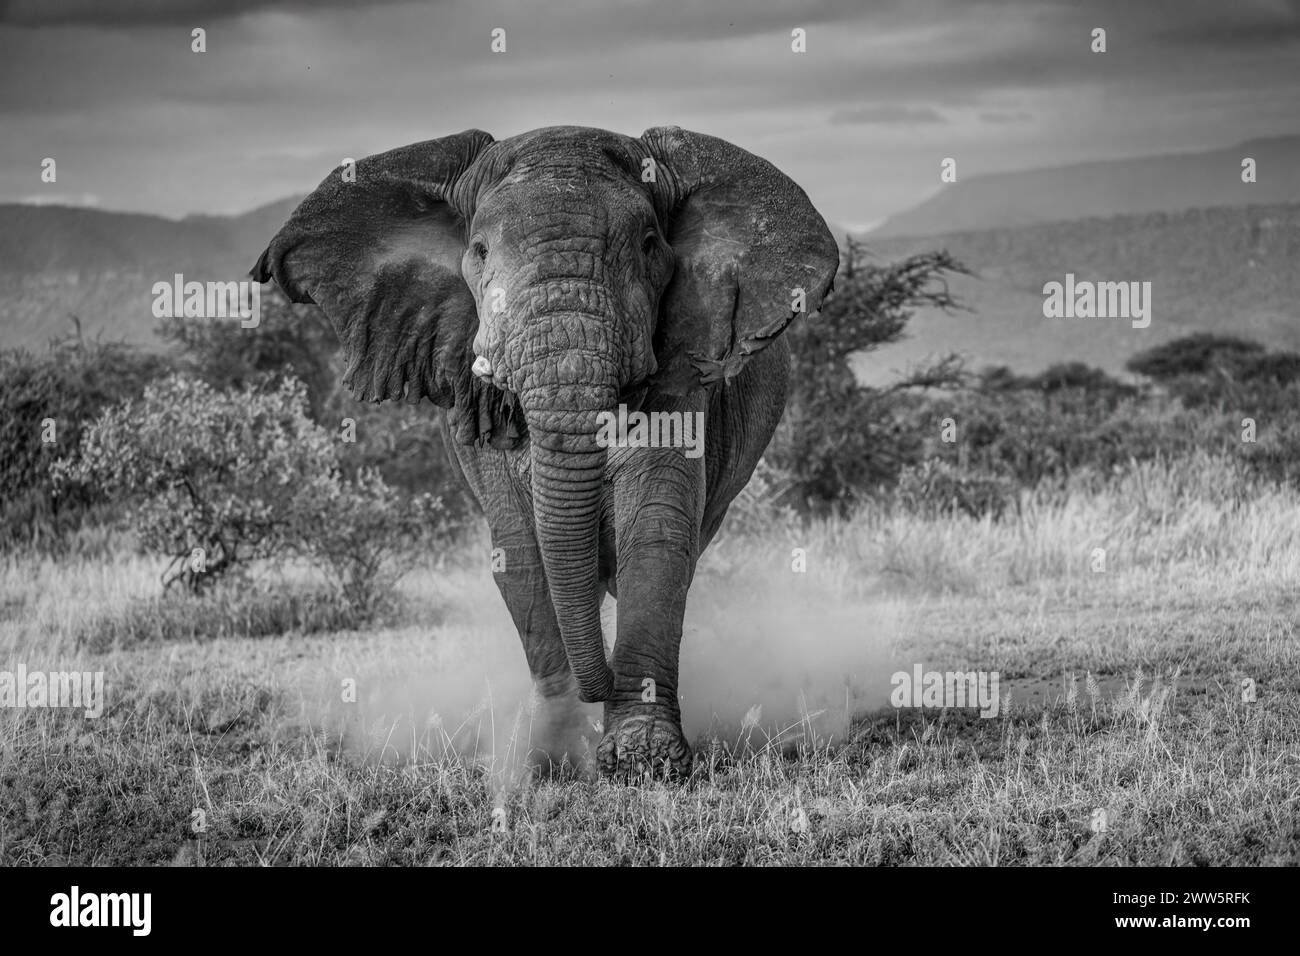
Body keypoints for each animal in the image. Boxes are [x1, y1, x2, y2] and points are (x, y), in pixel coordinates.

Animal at [252, 126, 839, 779]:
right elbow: (519, 552)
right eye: (480, 251)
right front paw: (548, 756)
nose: (599, 684)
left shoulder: (685, 371)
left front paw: (643, 761)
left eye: (649, 247)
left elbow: (655, 537)